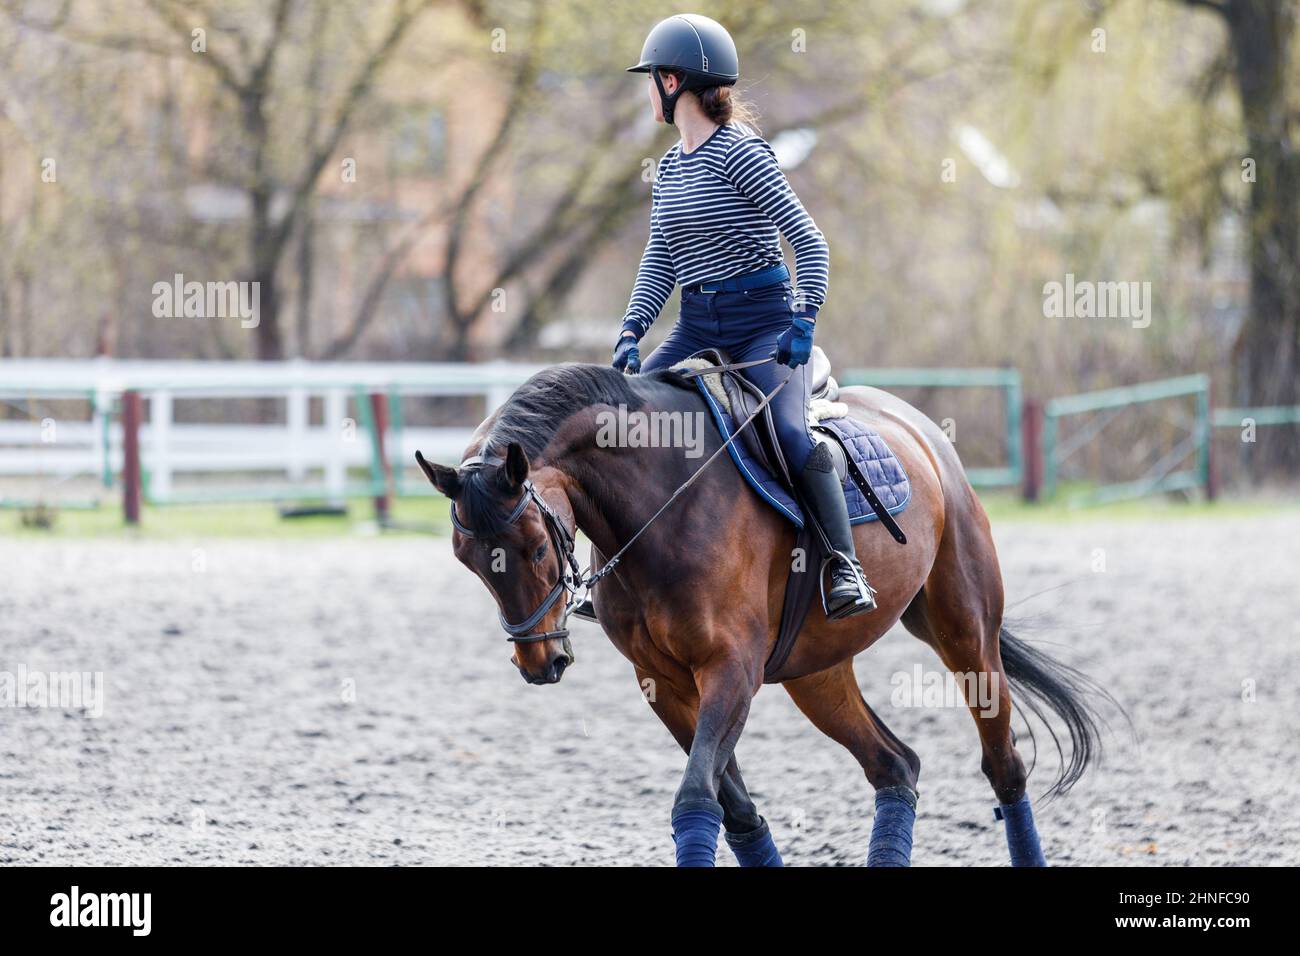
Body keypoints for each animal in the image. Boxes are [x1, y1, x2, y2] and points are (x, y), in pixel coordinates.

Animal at [416, 361, 1109, 866]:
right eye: (466, 560)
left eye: (536, 546)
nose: (540, 661)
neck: (659, 502)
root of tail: (922, 431)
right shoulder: (663, 683)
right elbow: (735, 810)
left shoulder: (731, 670)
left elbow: (696, 798)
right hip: (817, 672)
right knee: (895, 766)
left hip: (965, 632)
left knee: (1003, 765)